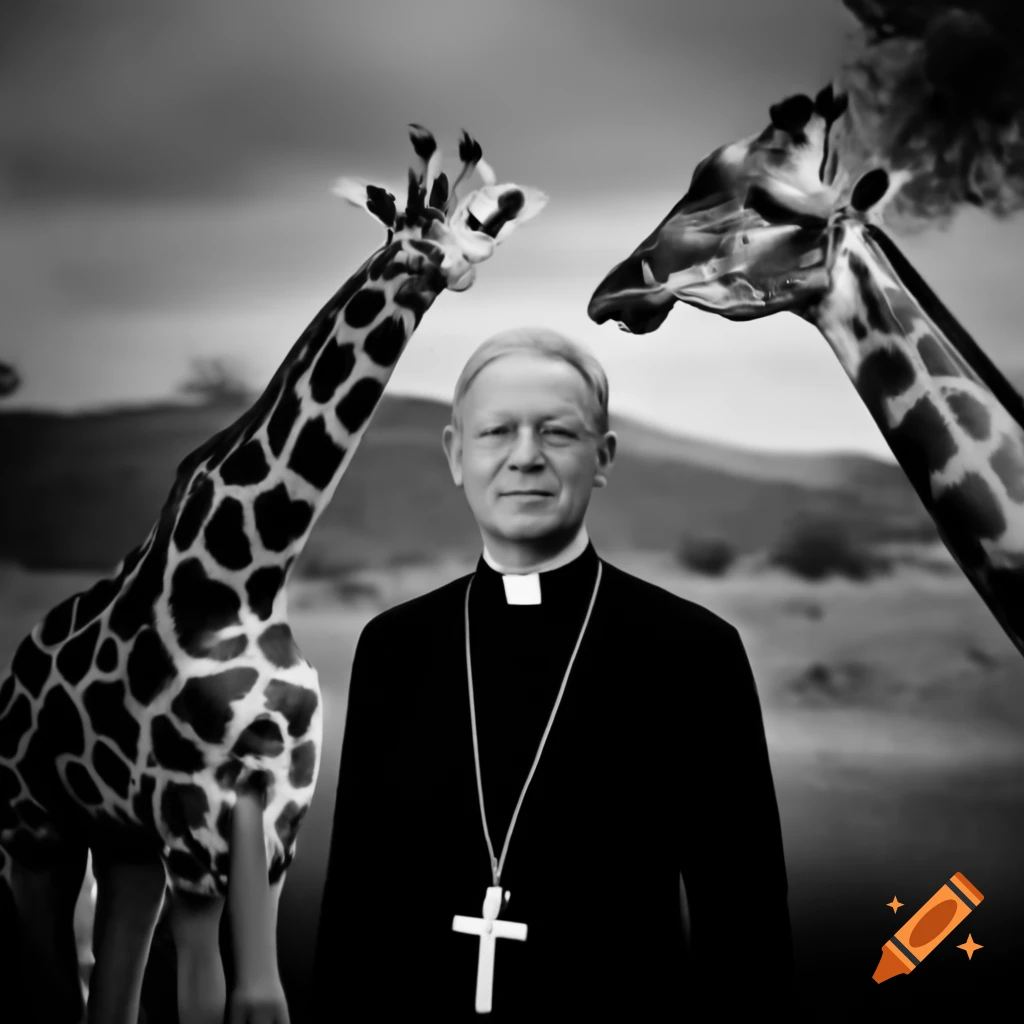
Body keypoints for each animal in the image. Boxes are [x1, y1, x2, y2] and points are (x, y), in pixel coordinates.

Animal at [0, 126, 546, 1024]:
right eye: (409, 237)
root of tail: (15, 668)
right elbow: (202, 997)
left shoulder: (273, 819)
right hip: (35, 824)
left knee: (107, 982)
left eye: (473, 222)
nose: (461, 263)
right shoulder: (188, 823)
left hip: (119, 843)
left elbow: (259, 996)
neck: (242, 576)